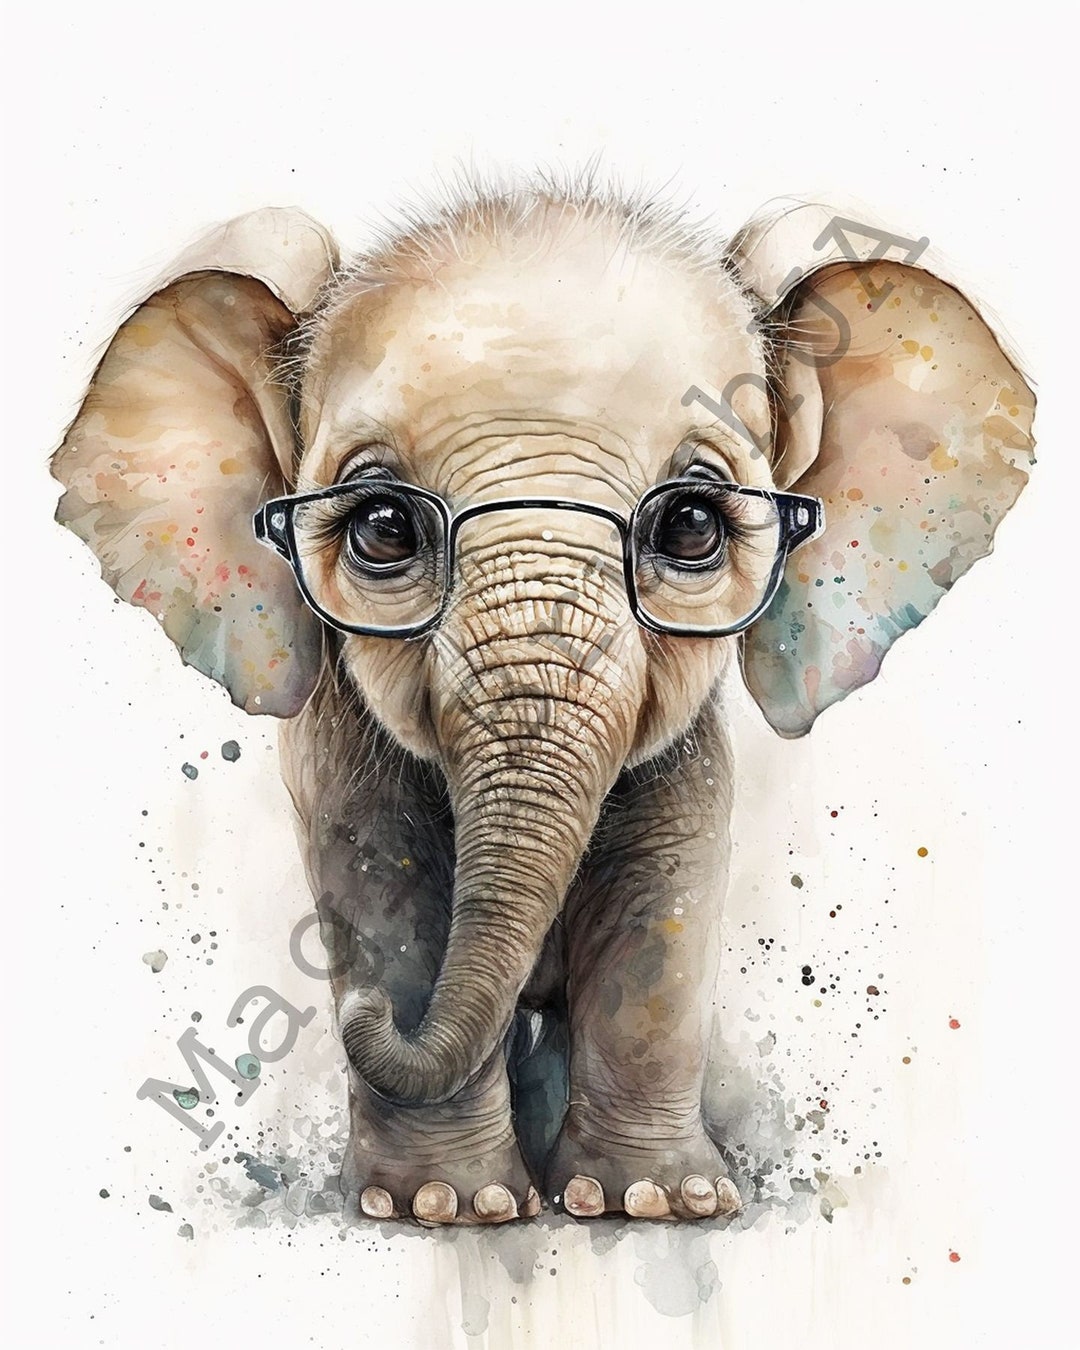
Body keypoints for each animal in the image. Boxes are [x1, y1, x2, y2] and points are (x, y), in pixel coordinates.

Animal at [51, 177, 1035, 1226]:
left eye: (690, 525)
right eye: (383, 528)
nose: (367, 1017)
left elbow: (661, 906)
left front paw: (653, 1202)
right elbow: (386, 888)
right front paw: (453, 1207)